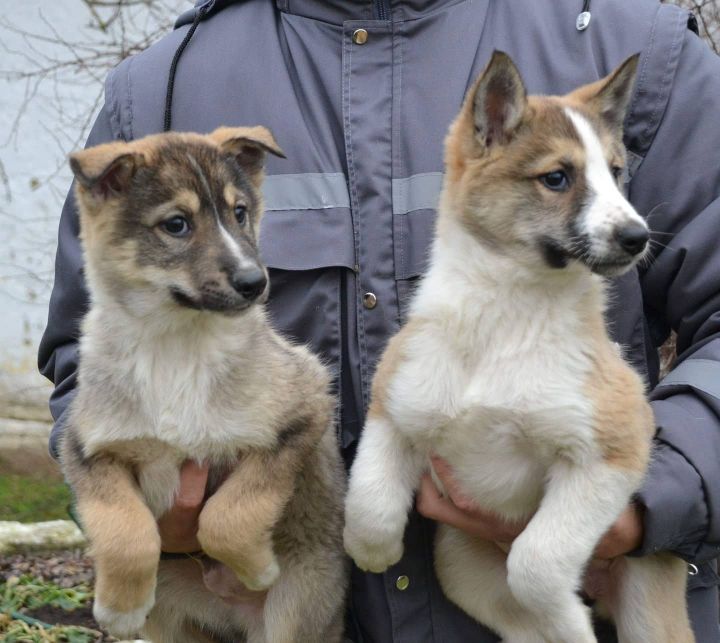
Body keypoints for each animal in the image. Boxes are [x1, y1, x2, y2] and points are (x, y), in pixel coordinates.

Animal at [60, 127, 348, 643]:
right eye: (176, 224)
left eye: (240, 212)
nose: (255, 282)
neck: (175, 345)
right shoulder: (87, 447)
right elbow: (123, 526)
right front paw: (118, 607)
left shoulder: (305, 410)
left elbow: (228, 514)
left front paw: (256, 567)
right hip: (172, 622)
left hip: (297, 611)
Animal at [346, 51, 696, 643]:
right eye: (557, 177)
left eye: (616, 173)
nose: (638, 237)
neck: (505, 317)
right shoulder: (394, 408)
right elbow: (367, 503)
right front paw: (376, 552)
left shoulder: (613, 453)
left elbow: (534, 562)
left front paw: (568, 615)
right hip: (463, 570)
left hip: (650, 606)